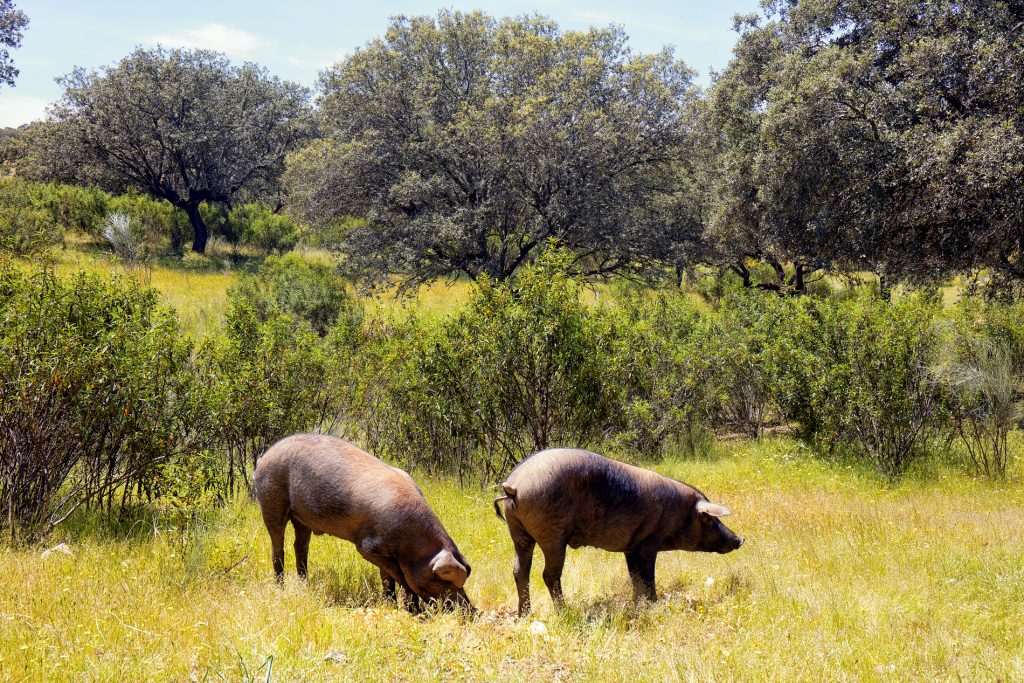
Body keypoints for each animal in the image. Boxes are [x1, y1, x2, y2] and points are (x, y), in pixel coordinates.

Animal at [254, 434, 473, 612]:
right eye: (442, 581)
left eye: (462, 582)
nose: (471, 611)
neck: (411, 549)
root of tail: (264, 456)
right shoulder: (367, 547)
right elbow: (400, 577)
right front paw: (412, 610)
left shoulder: (384, 552)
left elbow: (387, 578)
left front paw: (390, 604)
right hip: (271, 501)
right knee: (278, 545)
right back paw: (280, 588)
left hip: (302, 518)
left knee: (300, 546)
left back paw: (304, 584)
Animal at [494, 448, 742, 615]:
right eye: (710, 518)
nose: (740, 539)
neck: (680, 512)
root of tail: (514, 485)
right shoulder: (648, 543)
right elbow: (647, 577)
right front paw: (653, 603)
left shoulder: (631, 547)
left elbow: (634, 577)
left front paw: (638, 603)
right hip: (552, 534)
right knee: (549, 575)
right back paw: (565, 612)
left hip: (517, 532)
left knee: (519, 571)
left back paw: (525, 614)